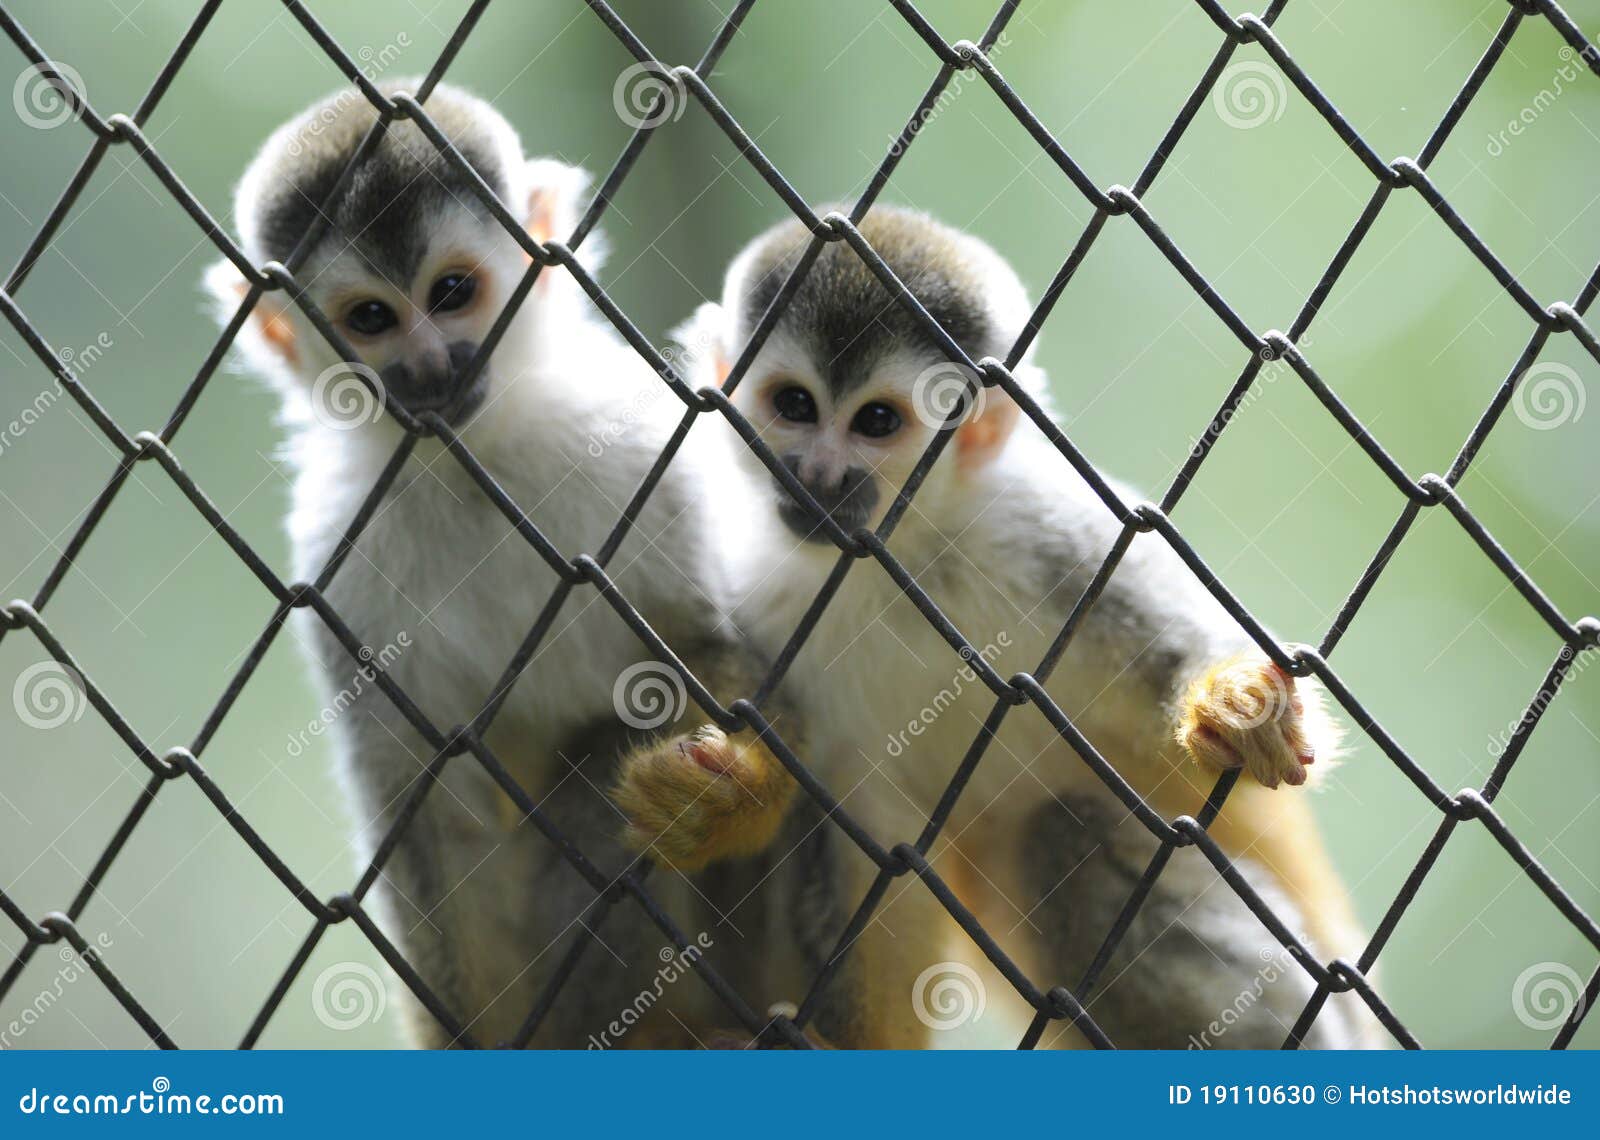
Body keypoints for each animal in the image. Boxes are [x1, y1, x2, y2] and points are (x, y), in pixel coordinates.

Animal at [204, 80, 792, 1048]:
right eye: (372, 318)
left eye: (452, 293)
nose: (432, 367)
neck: (469, 464)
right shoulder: (338, 562)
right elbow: (434, 809)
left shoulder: (636, 454)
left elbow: (703, 657)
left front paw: (722, 801)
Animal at [613, 205, 1381, 1049]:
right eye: (794, 407)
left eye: (876, 421)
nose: (815, 477)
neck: (900, 560)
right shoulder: (754, 588)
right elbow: (826, 787)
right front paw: (719, 803)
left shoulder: (1052, 535)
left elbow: (1190, 691)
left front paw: (1239, 706)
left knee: (1064, 834)